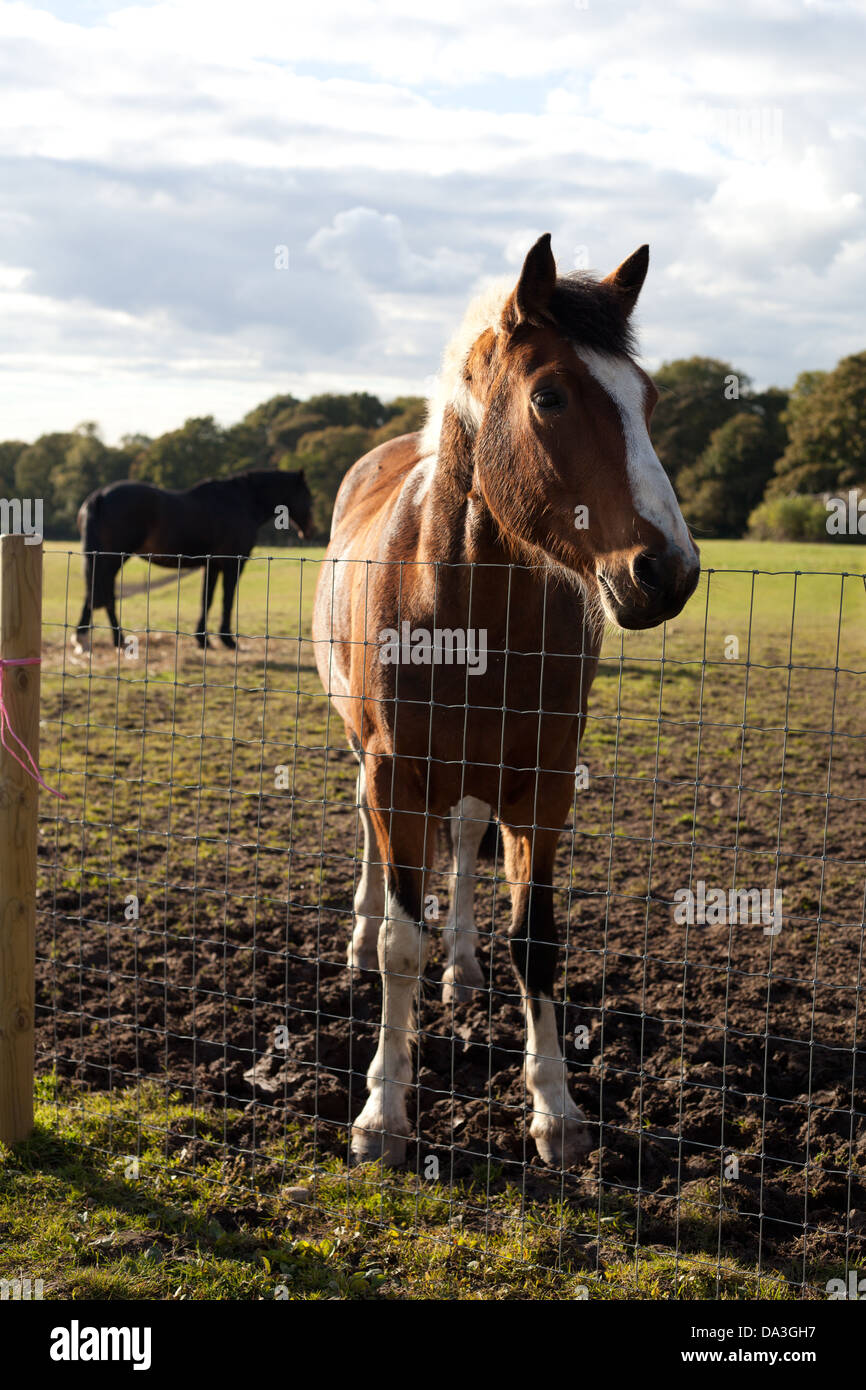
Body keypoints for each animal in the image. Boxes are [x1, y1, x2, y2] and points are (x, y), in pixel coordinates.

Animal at [73, 468, 312, 652]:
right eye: (307, 495)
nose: (309, 530)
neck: (242, 501)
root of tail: (99, 496)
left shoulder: (212, 565)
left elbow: (207, 599)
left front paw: (203, 639)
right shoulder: (233, 564)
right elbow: (226, 599)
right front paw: (227, 640)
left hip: (102, 558)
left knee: (94, 592)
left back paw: (84, 638)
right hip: (113, 559)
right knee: (105, 594)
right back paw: (117, 639)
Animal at [312, 235, 700, 1170]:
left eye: (648, 399)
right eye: (549, 395)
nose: (667, 571)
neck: (458, 607)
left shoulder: (544, 782)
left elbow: (537, 940)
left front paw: (556, 1110)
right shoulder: (396, 772)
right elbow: (400, 944)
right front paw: (383, 1112)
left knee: (458, 842)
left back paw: (462, 969)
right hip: (370, 757)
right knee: (374, 841)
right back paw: (362, 935)